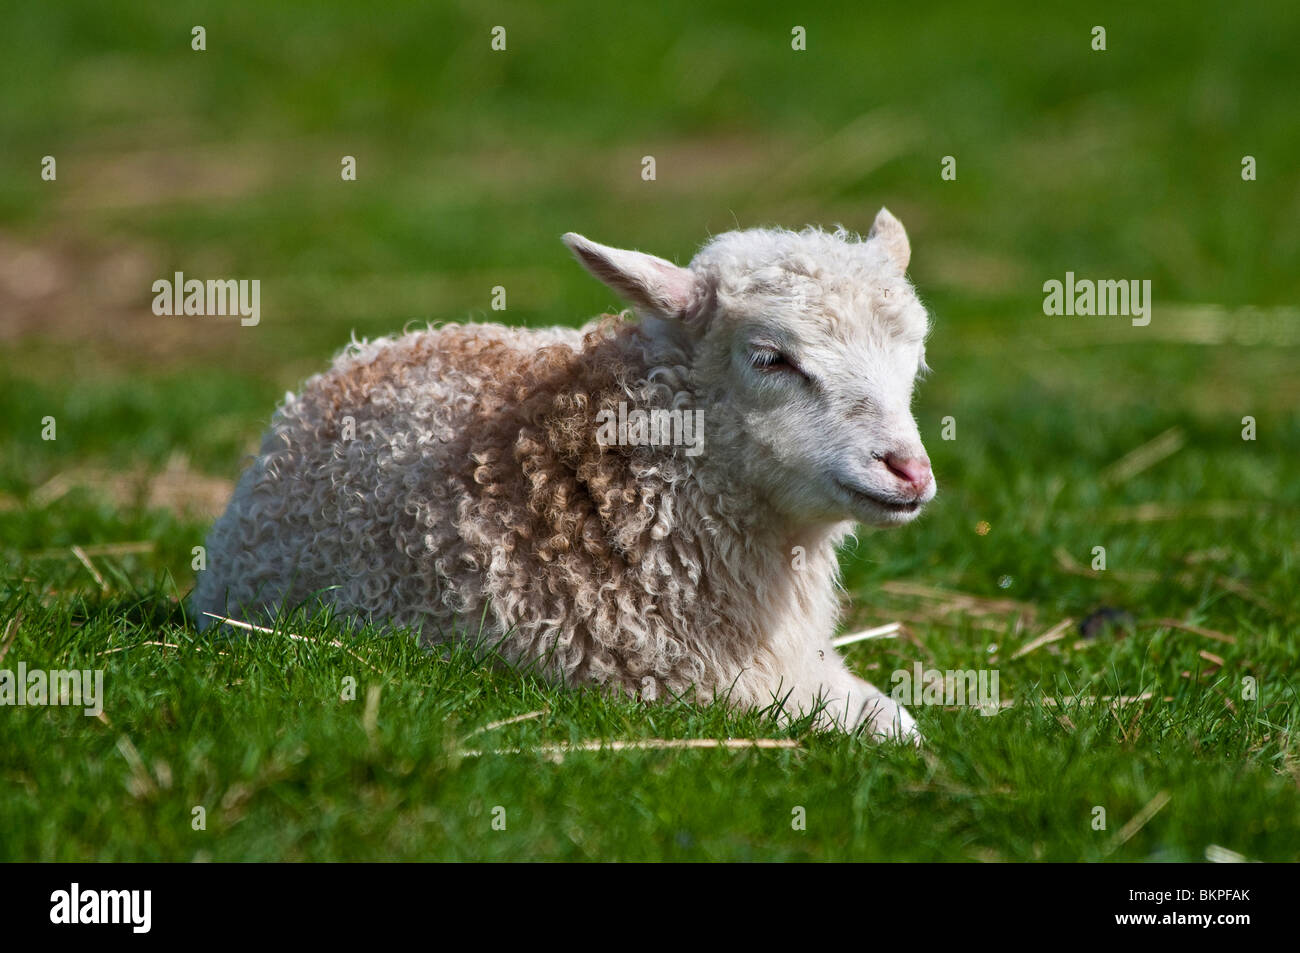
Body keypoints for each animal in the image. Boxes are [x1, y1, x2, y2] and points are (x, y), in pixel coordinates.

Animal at [191, 207, 936, 740]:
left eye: (914, 353)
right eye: (770, 357)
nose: (908, 470)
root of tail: (356, 359)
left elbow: (895, 722)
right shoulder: (685, 685)